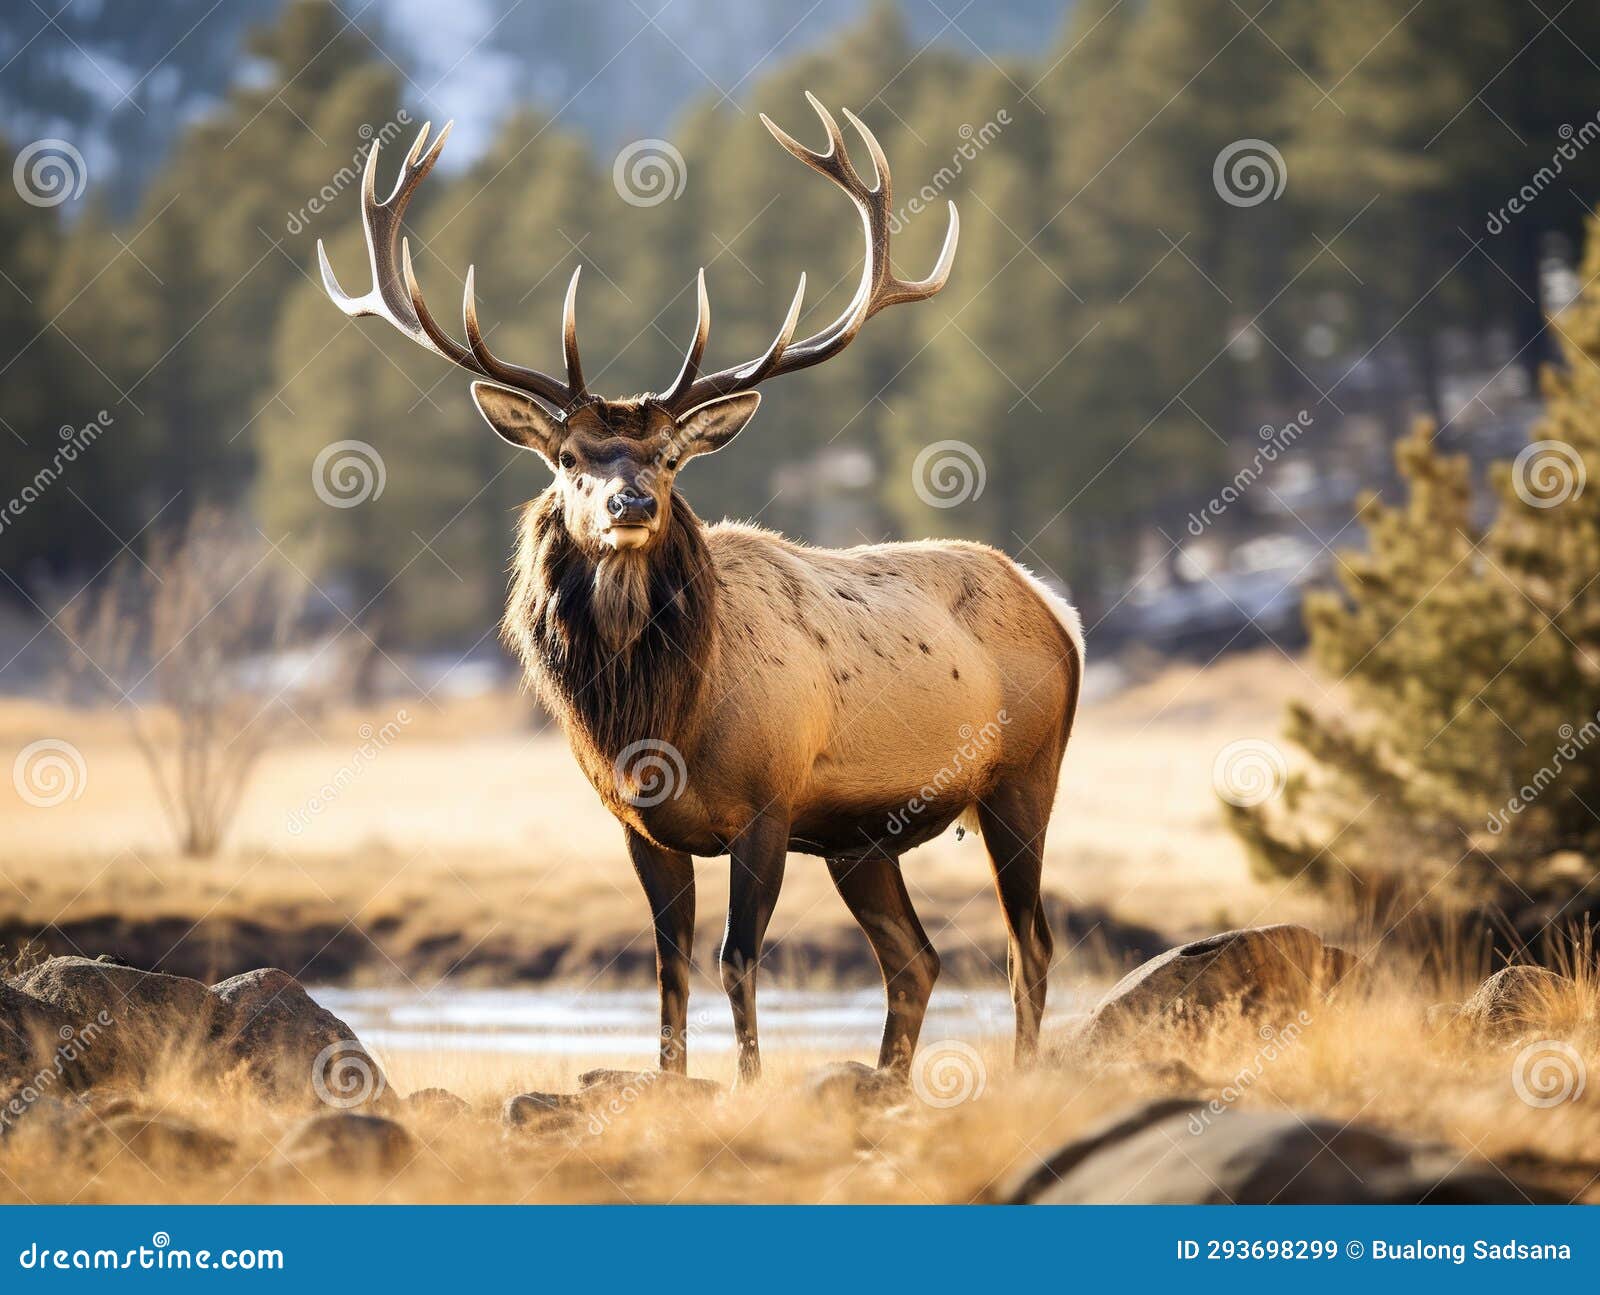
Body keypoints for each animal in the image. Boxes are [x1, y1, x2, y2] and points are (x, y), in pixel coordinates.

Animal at [318, 95, 1083, 1085]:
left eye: (670, 457)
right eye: (570, 457)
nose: (632, 501)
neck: (661, 721)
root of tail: (1059, 610)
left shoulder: (769, 805)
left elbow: (736, 959)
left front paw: (751, 1085)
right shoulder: (641, 826)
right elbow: (668, 968)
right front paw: (675, 1079)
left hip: (1024, 774)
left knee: (1031, 944)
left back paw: (1020, 1071)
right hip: (863, 839)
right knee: (916, 959)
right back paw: (887, 1081)